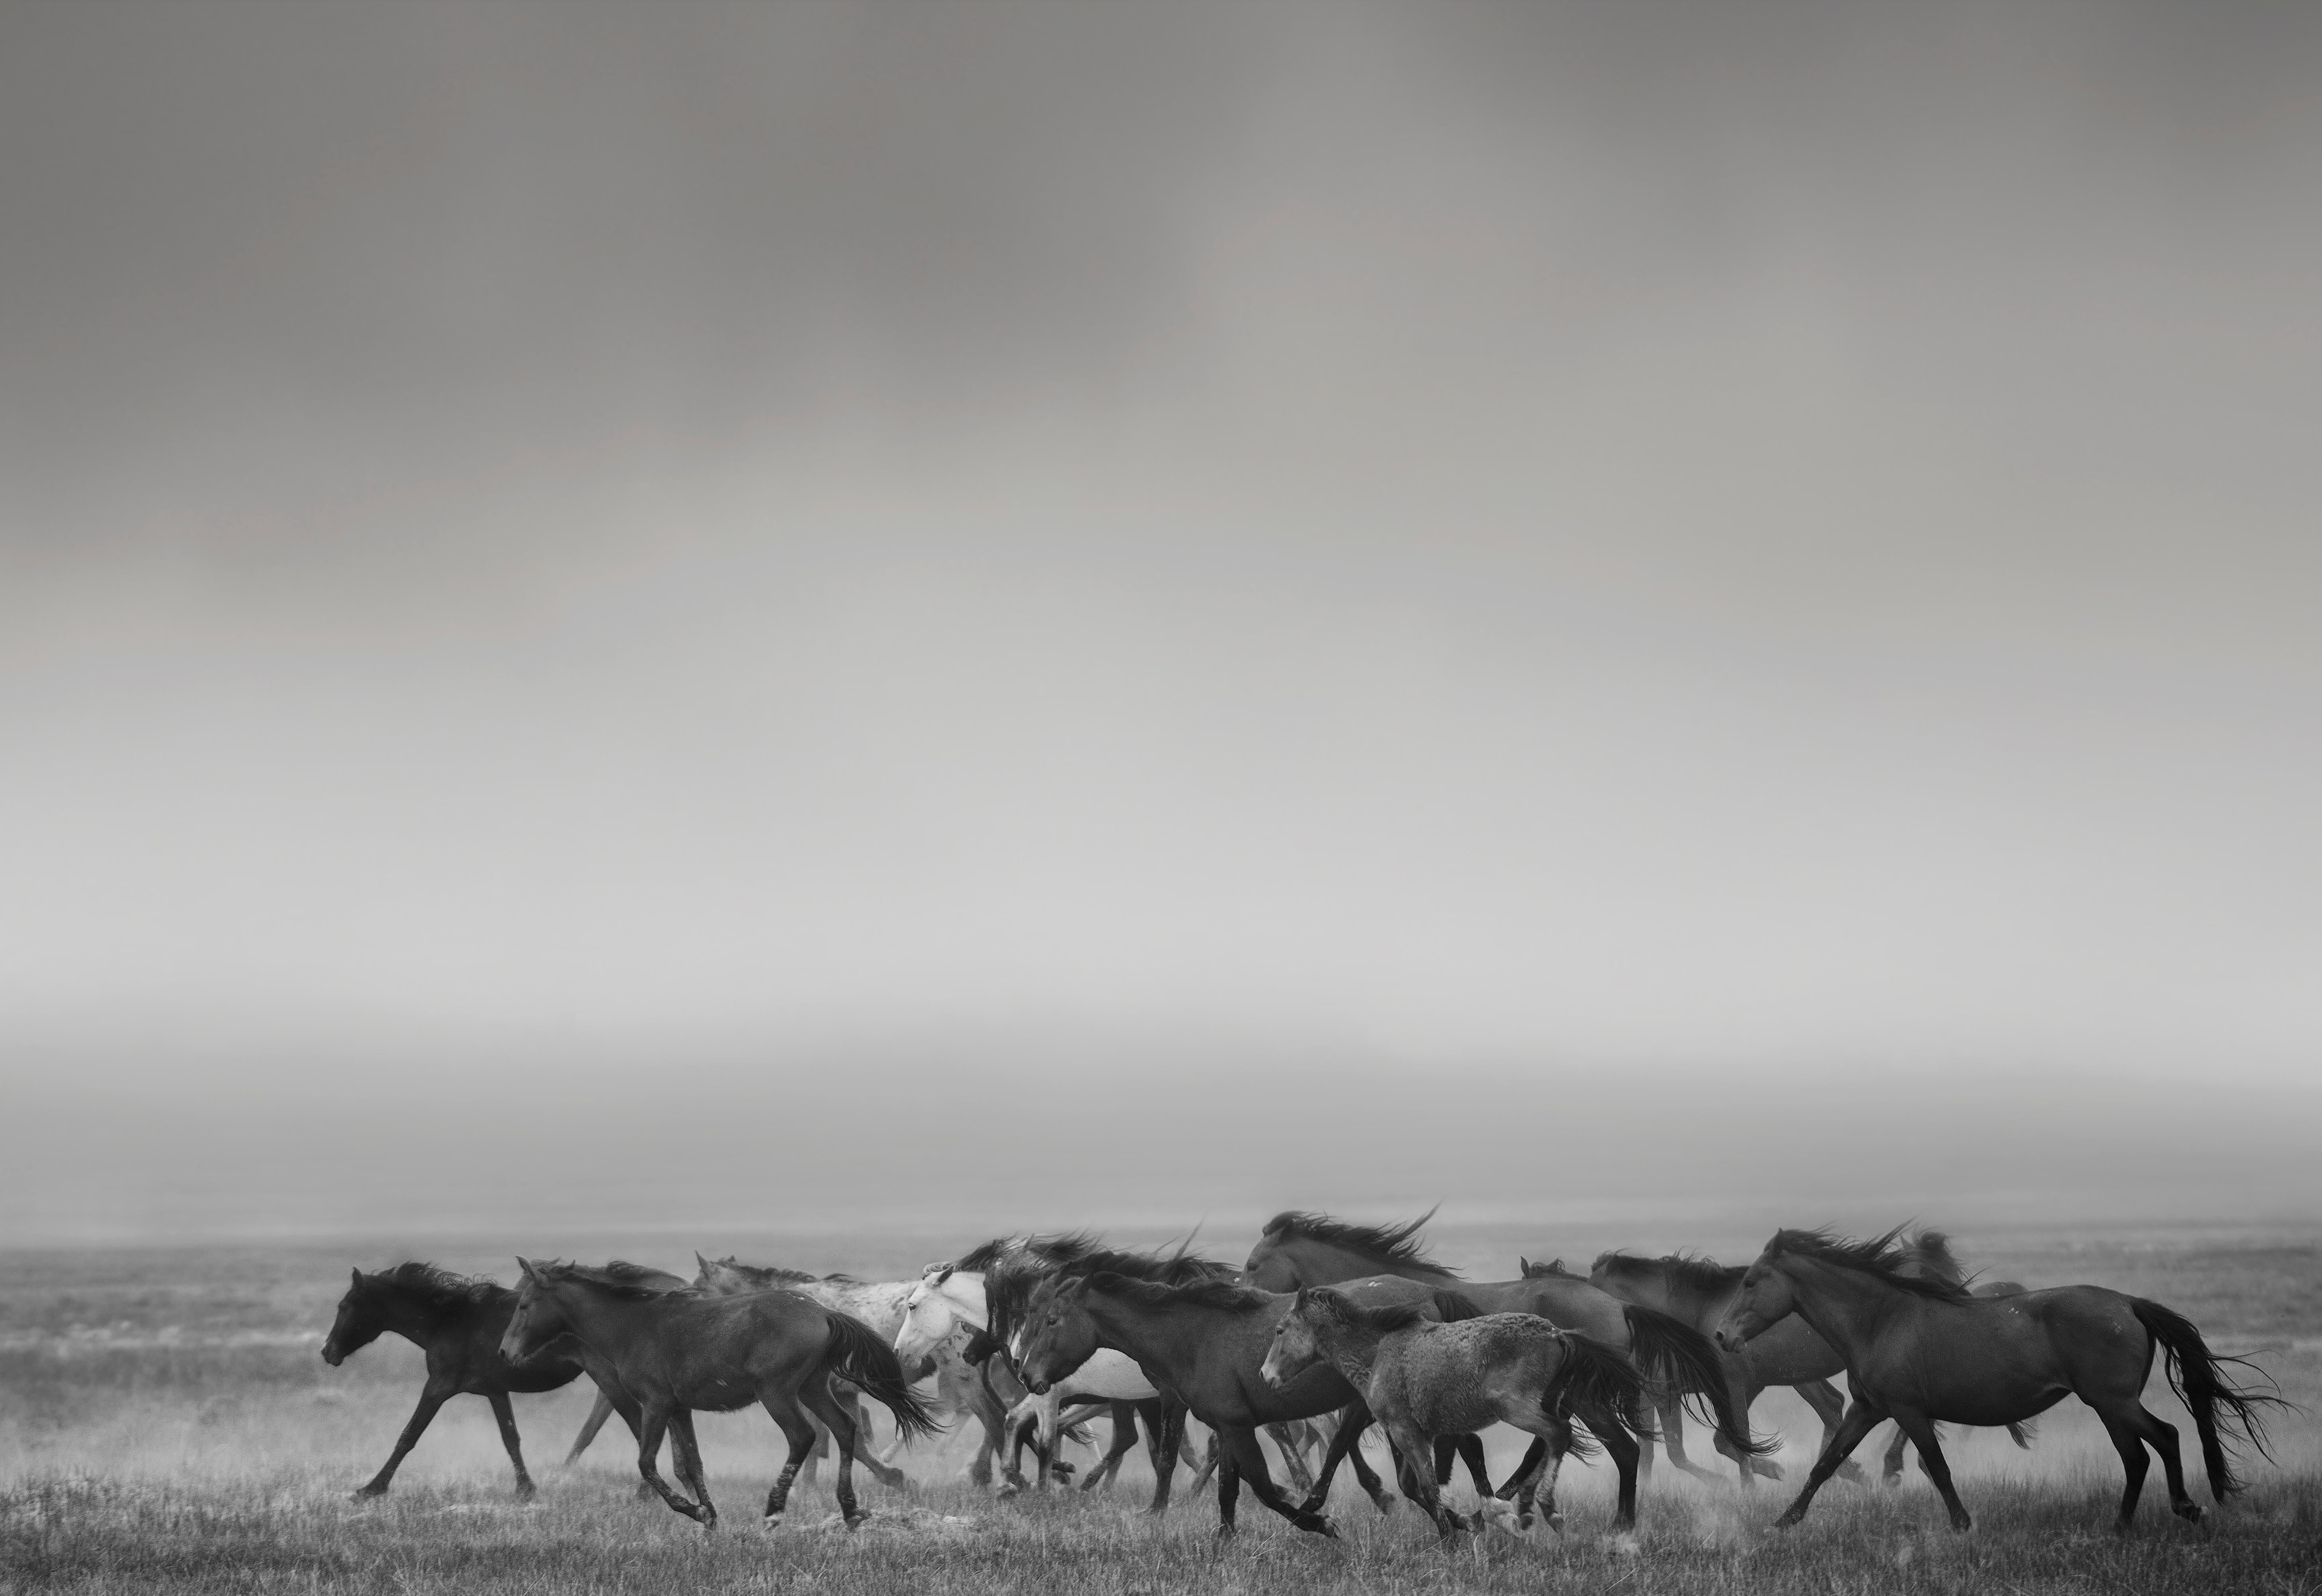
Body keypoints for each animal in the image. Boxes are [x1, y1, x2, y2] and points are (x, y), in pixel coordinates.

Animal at [320, 1264, 678, 1505]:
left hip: (610, 1382)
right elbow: (511, 1440)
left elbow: (408, 1436)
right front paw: (525, 1490)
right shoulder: (495, 1392)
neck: (448, 1321)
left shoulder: (437, 1387)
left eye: (343, 1306)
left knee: (639, 1426)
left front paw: (371, 1489)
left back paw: (647, 1493)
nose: (327, 1352)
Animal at [504, 1254, 938, 1533]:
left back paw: (774, 1511)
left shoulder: (656, 1405)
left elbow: (647, 1463)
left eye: (524, 1304)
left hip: (778, 1393)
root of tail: (823, 1313)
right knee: (845, 1429)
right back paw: (849, 1511)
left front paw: (692, 1512)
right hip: (813, 1388)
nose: (505, 1352)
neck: (631, 1324)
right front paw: (710, 1516)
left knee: (803, 1437)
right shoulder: (679, 1410)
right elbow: (691, 1464)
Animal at [1579, 1236, 2034, 1486]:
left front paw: (1750, 1489)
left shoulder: (1732, 1385)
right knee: (1840, 1407)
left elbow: (1727, 1444)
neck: (1691, 1312)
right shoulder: (1674, 1390)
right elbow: (1693, 1447)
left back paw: (1890, 1467)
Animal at [1718, 1226, 2275, 1533]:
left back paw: (2182, 1509)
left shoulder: (1908, 1411)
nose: (1722, 1335)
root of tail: (2128, 1304)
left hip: (2112, 1402)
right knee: (2139, 1455)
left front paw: (1963, 1526)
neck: (1880, 1319)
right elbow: (1826, 1464)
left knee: (2164, 1437)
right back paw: (2122, 1527)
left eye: (1751, 1281)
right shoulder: (1868, 1408)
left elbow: (1937, 1467)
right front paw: (1783, 1522)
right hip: (2109, 1406)